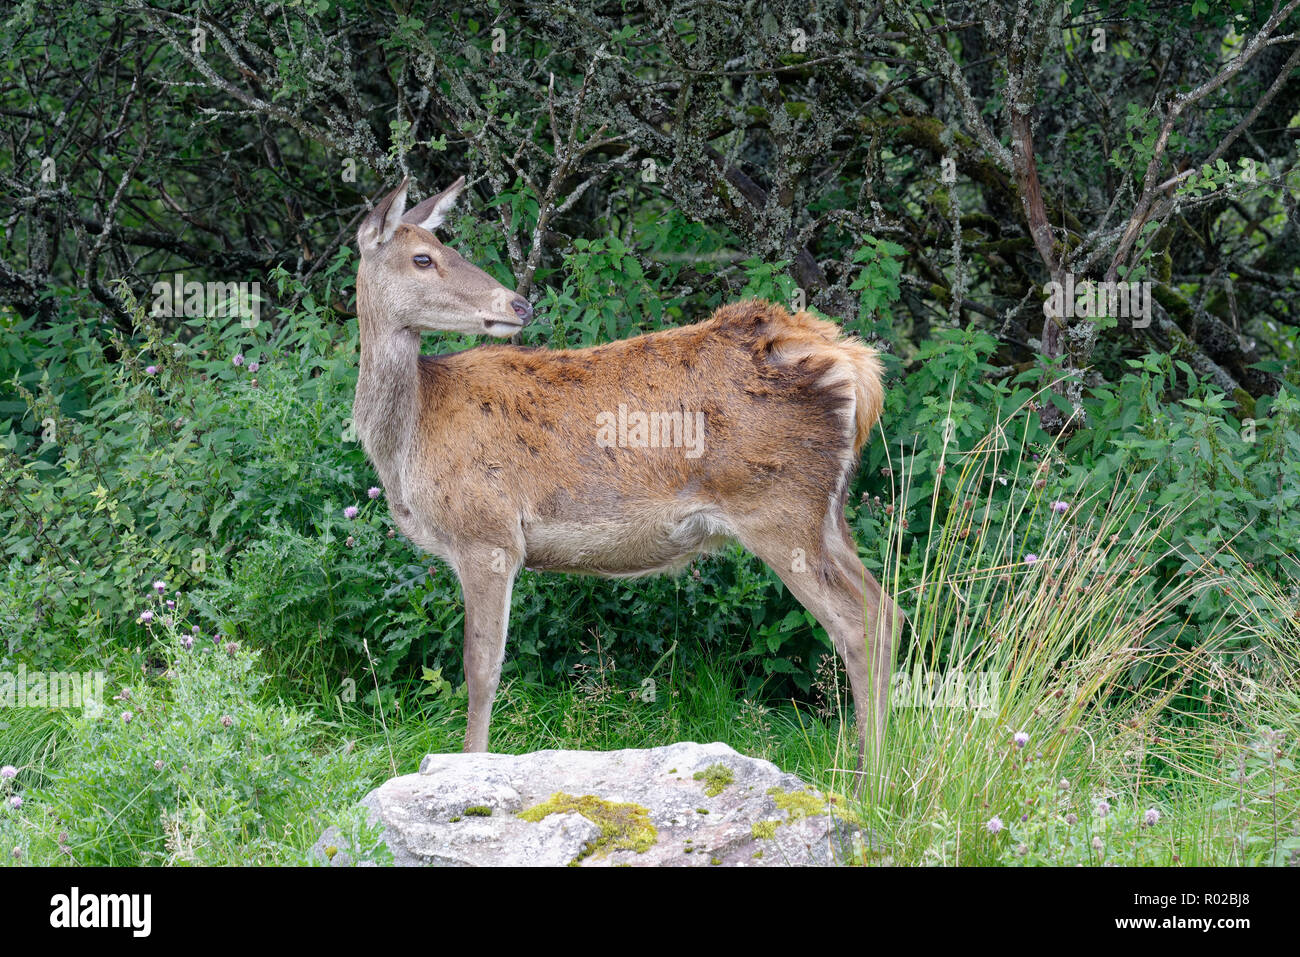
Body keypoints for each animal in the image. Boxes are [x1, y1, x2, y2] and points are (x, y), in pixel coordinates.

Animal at [352, 176, 903, 764]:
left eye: (438, 250)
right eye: (424, 256)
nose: (519, 304)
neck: (410, 440)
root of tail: (858, 367)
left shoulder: (486, 533)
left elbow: (481, 671)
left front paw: (471, 765)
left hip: (779, 507)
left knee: (858, 623)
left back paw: (869, 773)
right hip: (828, 511)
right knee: (888, 609)